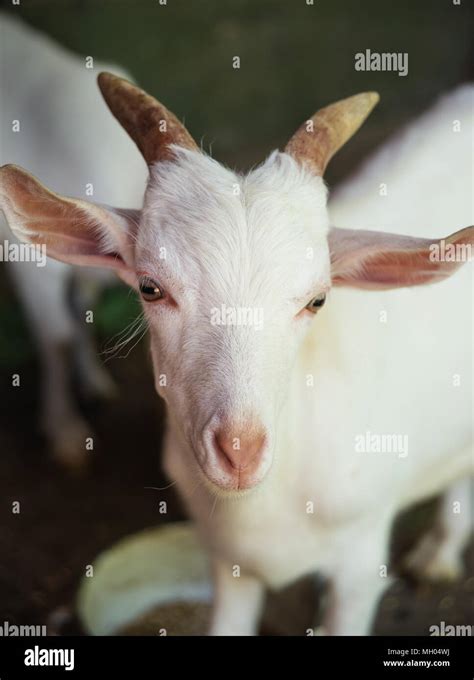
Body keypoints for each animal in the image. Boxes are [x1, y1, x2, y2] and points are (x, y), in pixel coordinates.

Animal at [0, 71, 472, 634]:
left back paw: (437, 555)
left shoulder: (360, 564)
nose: (240, 452)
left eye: (317, 299)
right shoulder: (227, 563)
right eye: (151, 288)